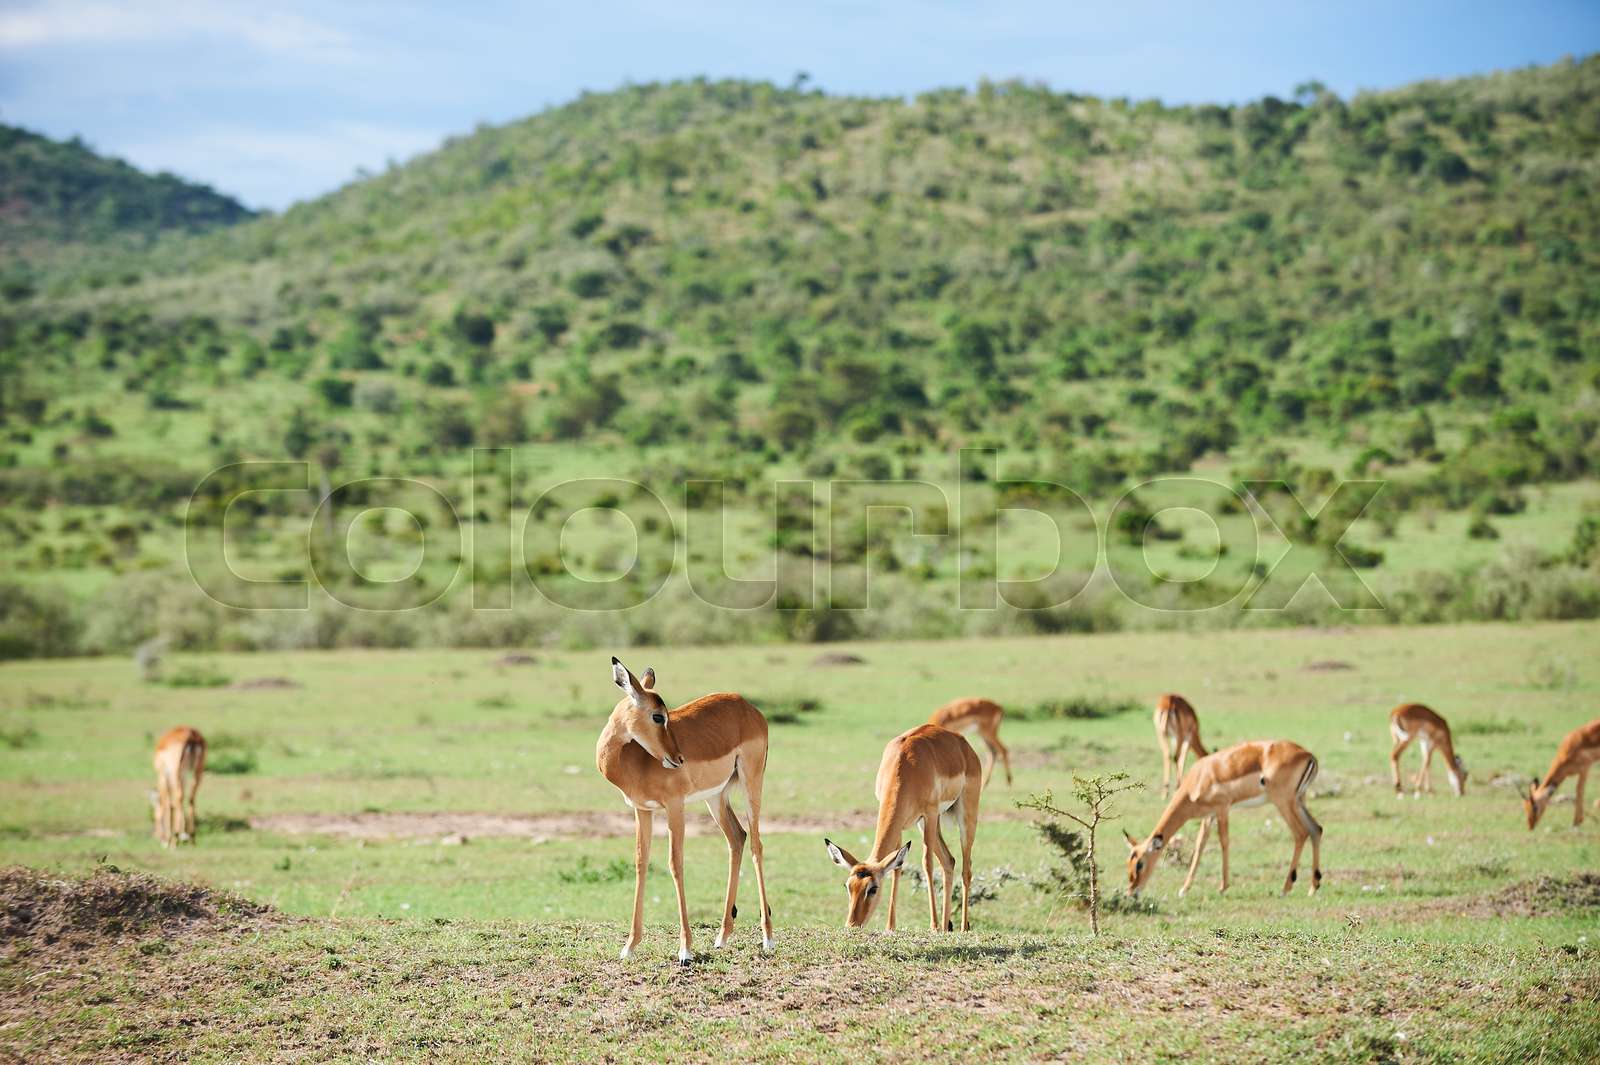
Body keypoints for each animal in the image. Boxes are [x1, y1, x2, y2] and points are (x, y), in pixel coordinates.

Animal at [595, 657, 774, 964]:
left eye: (667, 715)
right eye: (657, 716)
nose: (678, 758)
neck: (636, 760)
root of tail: (748, 706)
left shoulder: (674, 807)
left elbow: (675, 864)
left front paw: (685, 950)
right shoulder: (642, 810)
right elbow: (641, 863)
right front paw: (629, 946)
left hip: (751, 784)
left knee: (756, 845)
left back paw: (767, 939)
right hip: (716, 797)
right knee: (737, 838)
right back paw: (721, 937)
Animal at [824, 724, 982, 933]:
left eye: (872, 888)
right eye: (848, 886)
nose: (852, 926)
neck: (905, 765)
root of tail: (964, 744)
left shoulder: (930, 814)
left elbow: (927, 864)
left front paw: (933, 927)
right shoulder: (901, 825)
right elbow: (897, 867)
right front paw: (890, 926)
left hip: (964, 817)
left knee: (966, 867)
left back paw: (963, 927)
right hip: (924, 825)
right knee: (949, 861)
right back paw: (946, 926)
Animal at [1126, 740, 1322, 898]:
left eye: (1140, 864)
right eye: (1129, 862)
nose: (1131, 892)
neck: (1198, 779)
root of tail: (1308, 755)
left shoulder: (1222, 809)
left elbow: (1224, 842)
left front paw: (1223, 887)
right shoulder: (1208, 816)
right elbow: (1200, 846)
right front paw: (1184, 889)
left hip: (1283, 802)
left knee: (1301, 833)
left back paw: (1285, 889)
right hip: (1298, 802)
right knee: (1316, 829)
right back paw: (1313, 887)